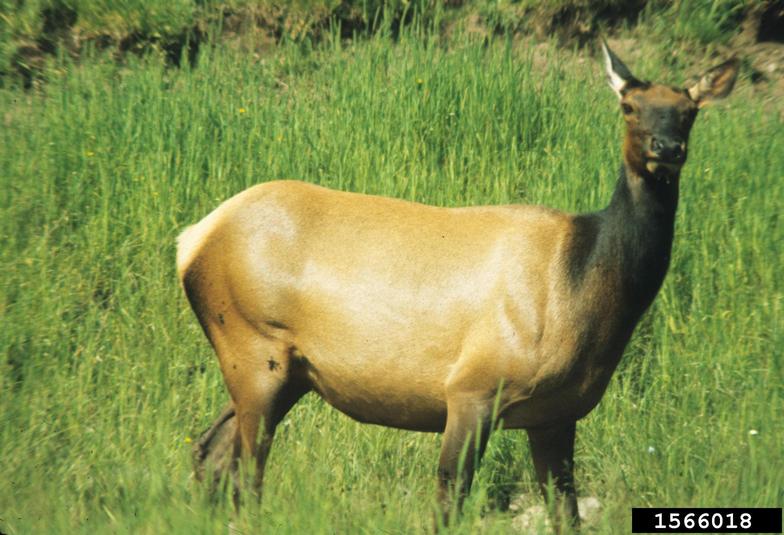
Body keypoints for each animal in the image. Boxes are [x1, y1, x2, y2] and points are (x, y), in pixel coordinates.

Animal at [179, 41, 738, 530]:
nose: (667, 148)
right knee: (245, 473)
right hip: (252, 344)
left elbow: (566, 512)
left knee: (209, 450)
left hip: (288, 369)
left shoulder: (557, 414)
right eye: (629, 106)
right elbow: (450, 499)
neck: (585, 292)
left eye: (689, 111)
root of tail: (192, 239)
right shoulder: (473, 386)